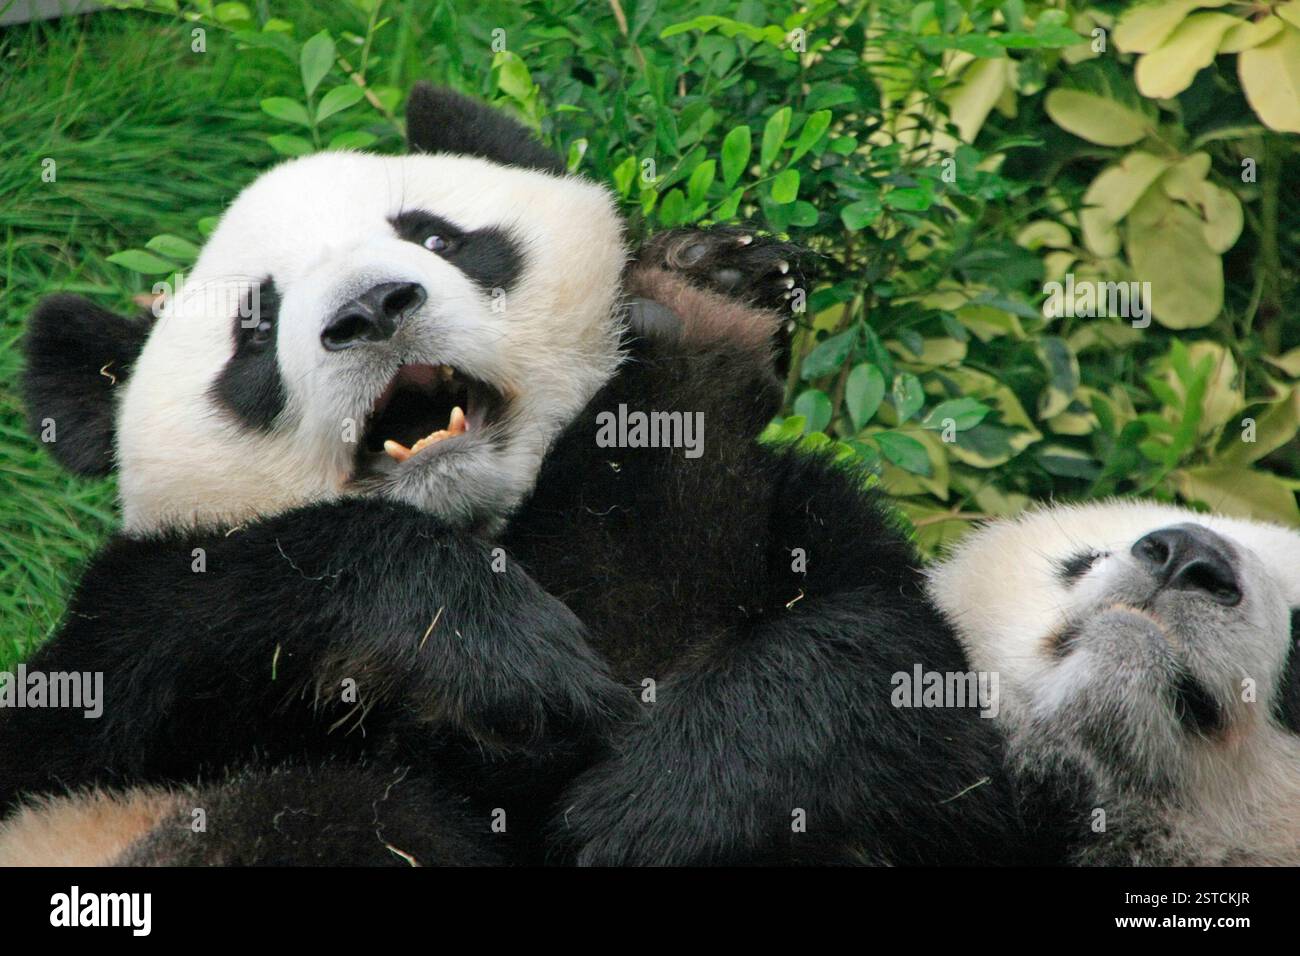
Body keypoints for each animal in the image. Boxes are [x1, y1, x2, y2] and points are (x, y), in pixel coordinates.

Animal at [1, 85, 1025, 866]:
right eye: (254, 326)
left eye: (438, 238)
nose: (375, 309)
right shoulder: (119, 678)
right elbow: (116, 676)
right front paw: (497, 652)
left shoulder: (811, 522)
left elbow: (898, 688)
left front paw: (653, 806)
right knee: (324, 812)